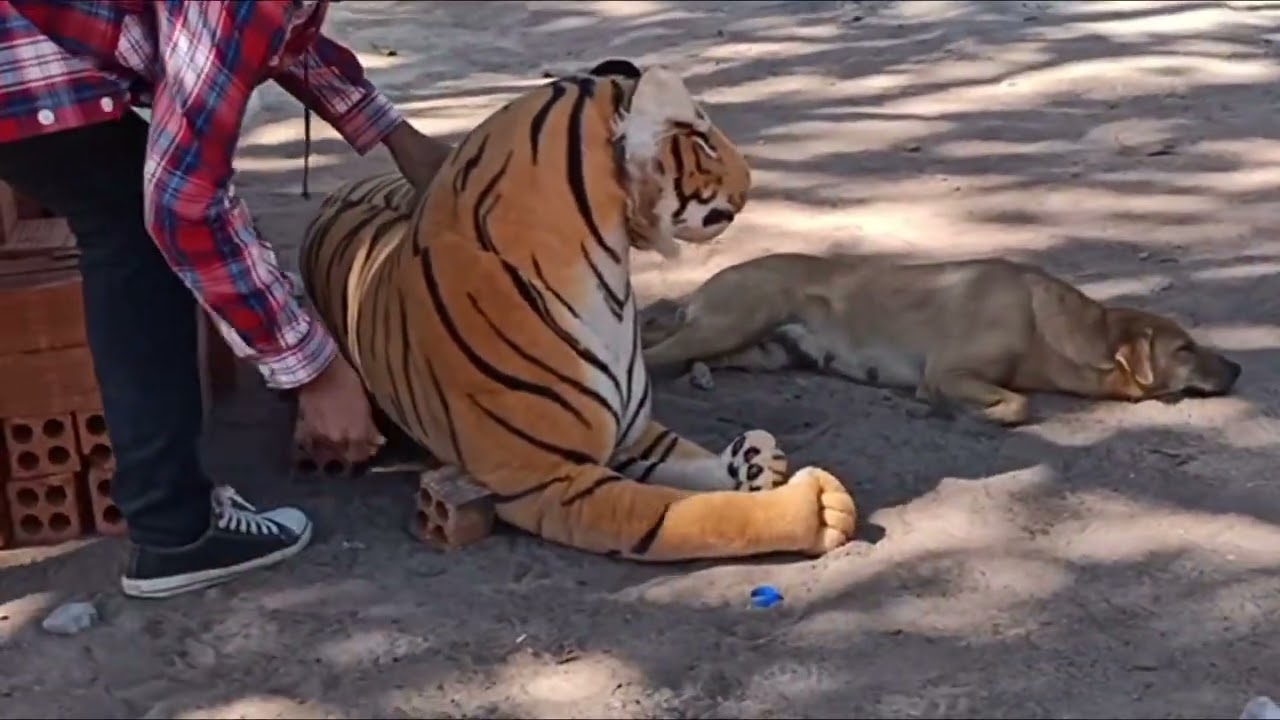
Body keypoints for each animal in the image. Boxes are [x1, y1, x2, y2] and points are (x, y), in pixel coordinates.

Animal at [297, 58, 857, 561]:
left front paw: (754, 461)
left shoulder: (637, 436)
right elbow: (690, 515)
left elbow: (700, 465)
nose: (750, 178)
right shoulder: (551, 479)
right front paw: (817, 507)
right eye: (699, 138)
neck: (609, 282)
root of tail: (334, 193)